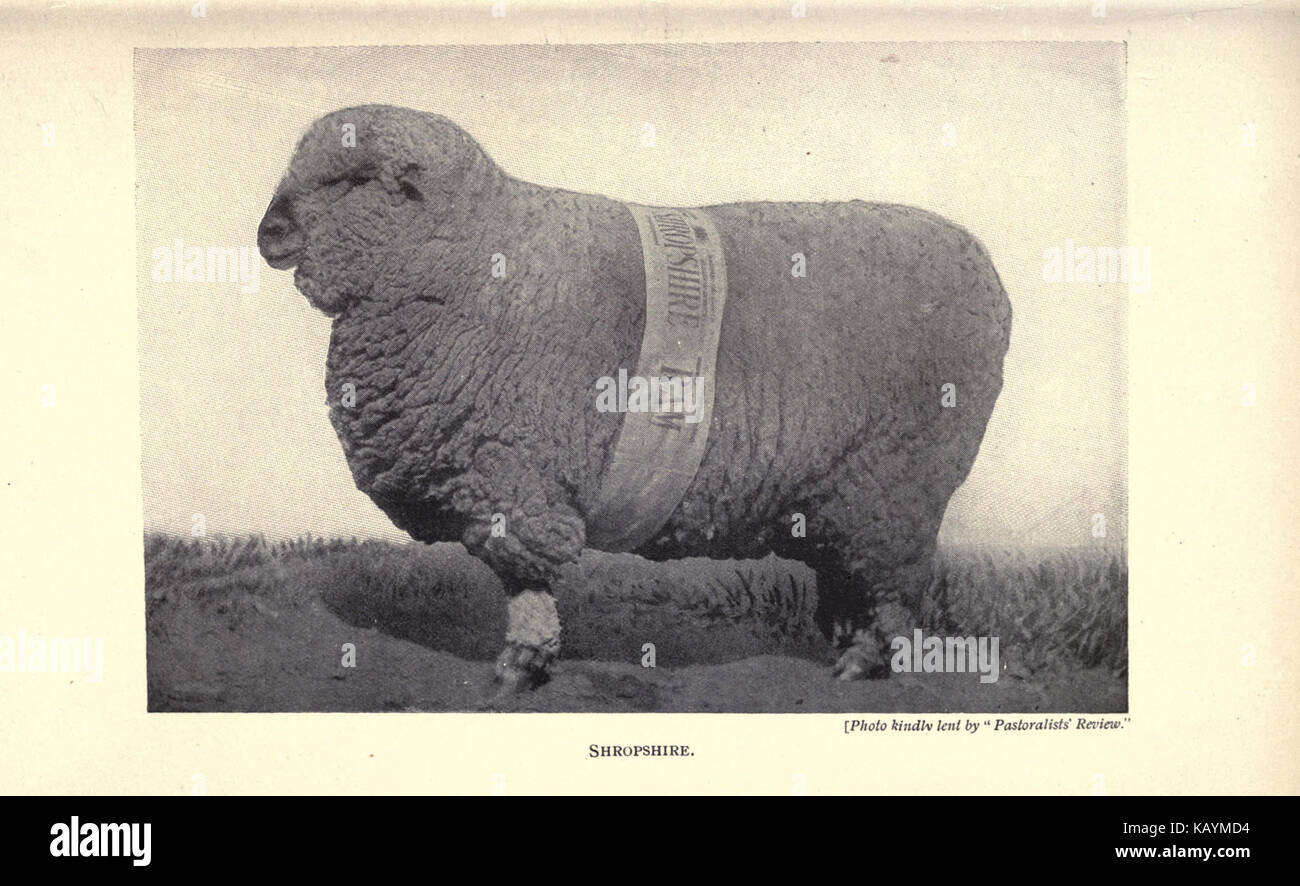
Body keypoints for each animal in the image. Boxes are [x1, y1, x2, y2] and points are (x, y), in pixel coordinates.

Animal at [257, 104, 1012, 691]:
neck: (473, 254)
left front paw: (523, 664)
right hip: (840, 489)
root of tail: (982, 264)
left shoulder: (515, 468)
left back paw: (867, 662)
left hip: (898, 477)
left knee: (896, 586)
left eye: (355, 179)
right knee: (852, 574)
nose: (269, 233)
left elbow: (524, 577)